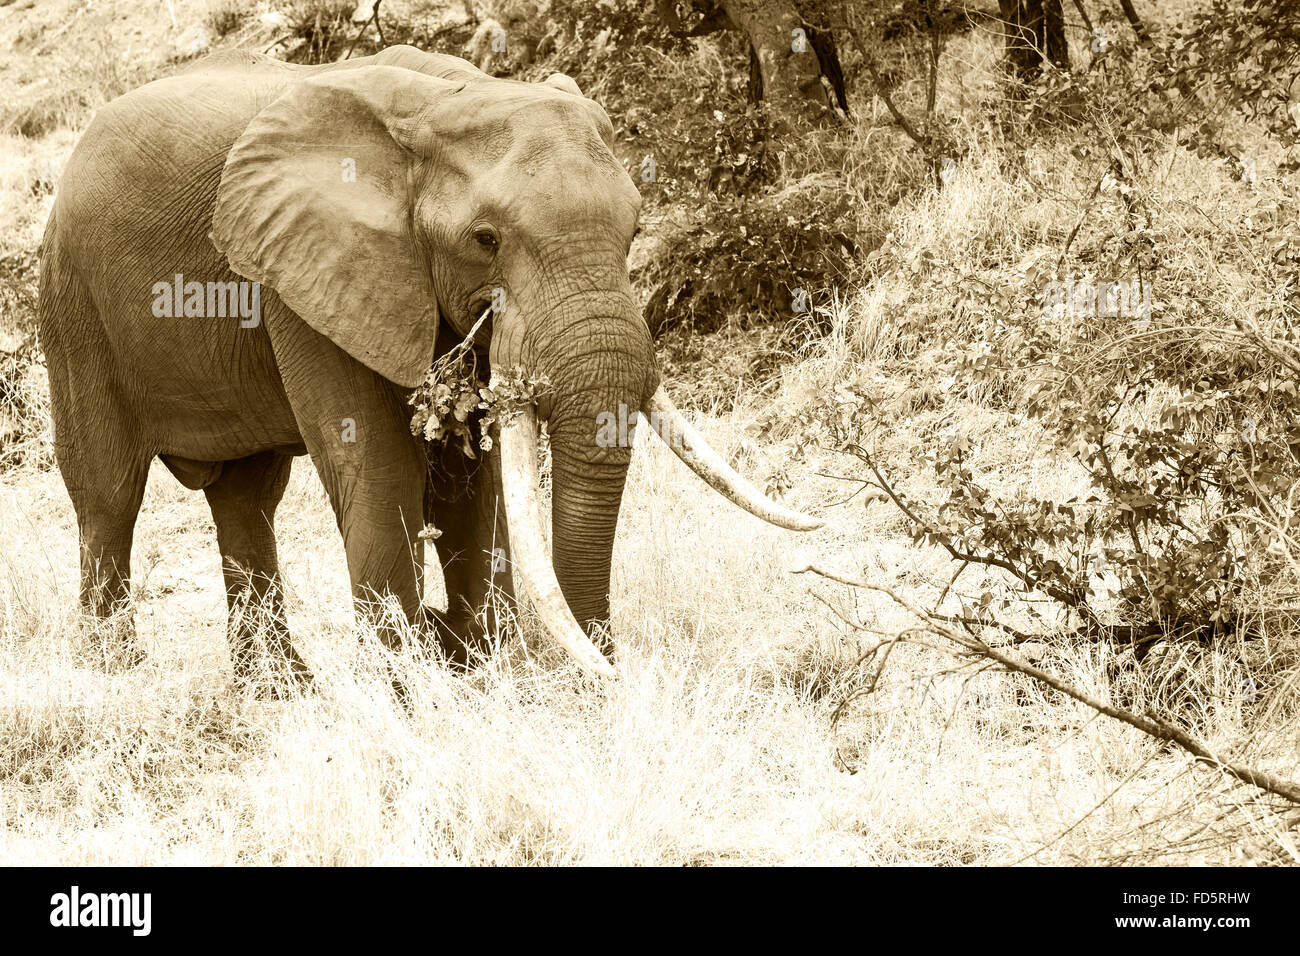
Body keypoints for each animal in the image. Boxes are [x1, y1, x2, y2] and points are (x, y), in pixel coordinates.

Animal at [37, 44, 820, 688]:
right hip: (72, 303)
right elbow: (381, 462)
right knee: (108, 494)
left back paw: (281, 691)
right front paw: (412, 686)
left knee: (247, 495)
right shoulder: (305, 275)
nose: (606, 676)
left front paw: (483, 664)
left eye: (634, 229)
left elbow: (469, 478)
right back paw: (119, 679)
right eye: (485, 239)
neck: (444, 103)